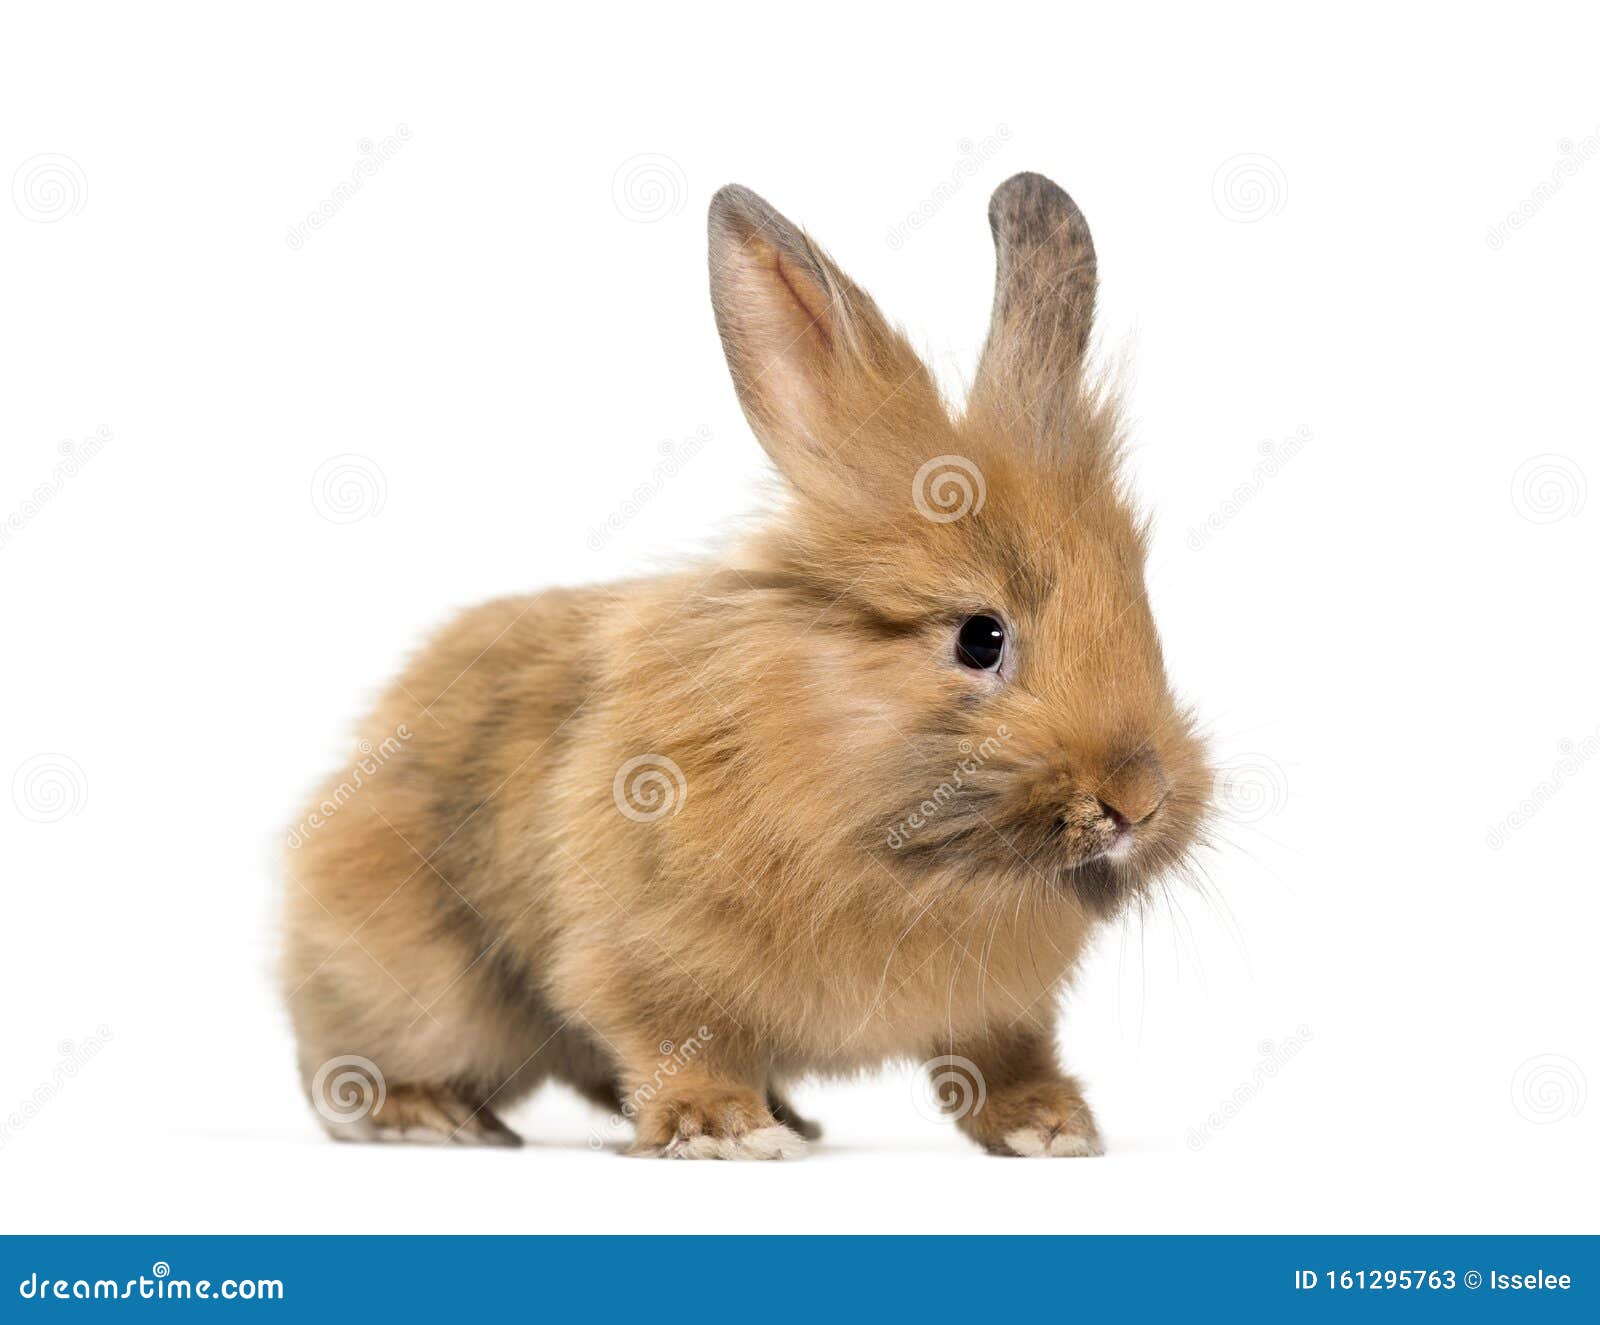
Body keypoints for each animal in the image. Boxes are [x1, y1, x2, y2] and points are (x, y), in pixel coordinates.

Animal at [280, 171, 1212, 1159]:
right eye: (980, 638)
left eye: (1142, 609)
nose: (1139, 799)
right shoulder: (637, 960)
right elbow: (667, 1041)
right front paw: (724, 1131)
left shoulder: (1003, 1010)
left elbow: (1003, 1056)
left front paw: (1052, 1127)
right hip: (415, 988)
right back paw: (429, 1116)